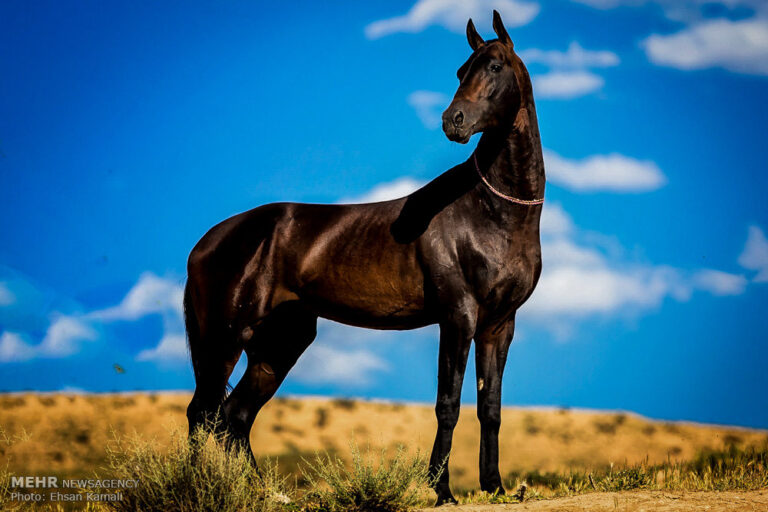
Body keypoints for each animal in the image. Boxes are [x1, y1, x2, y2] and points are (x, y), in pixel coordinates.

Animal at [184, 11, 545, 504]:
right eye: (460, 71)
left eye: (493, 66)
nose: (453, 121)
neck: (493, 212)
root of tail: (207, 243)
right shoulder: (458, 317)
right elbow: (448, 404)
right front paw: (442, 491)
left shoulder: (499, 324)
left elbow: (490, 406)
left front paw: (495, 486)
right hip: (222, 338)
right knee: (202, 413)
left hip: (278, 343)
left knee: (233, 417)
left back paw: (266, 494)